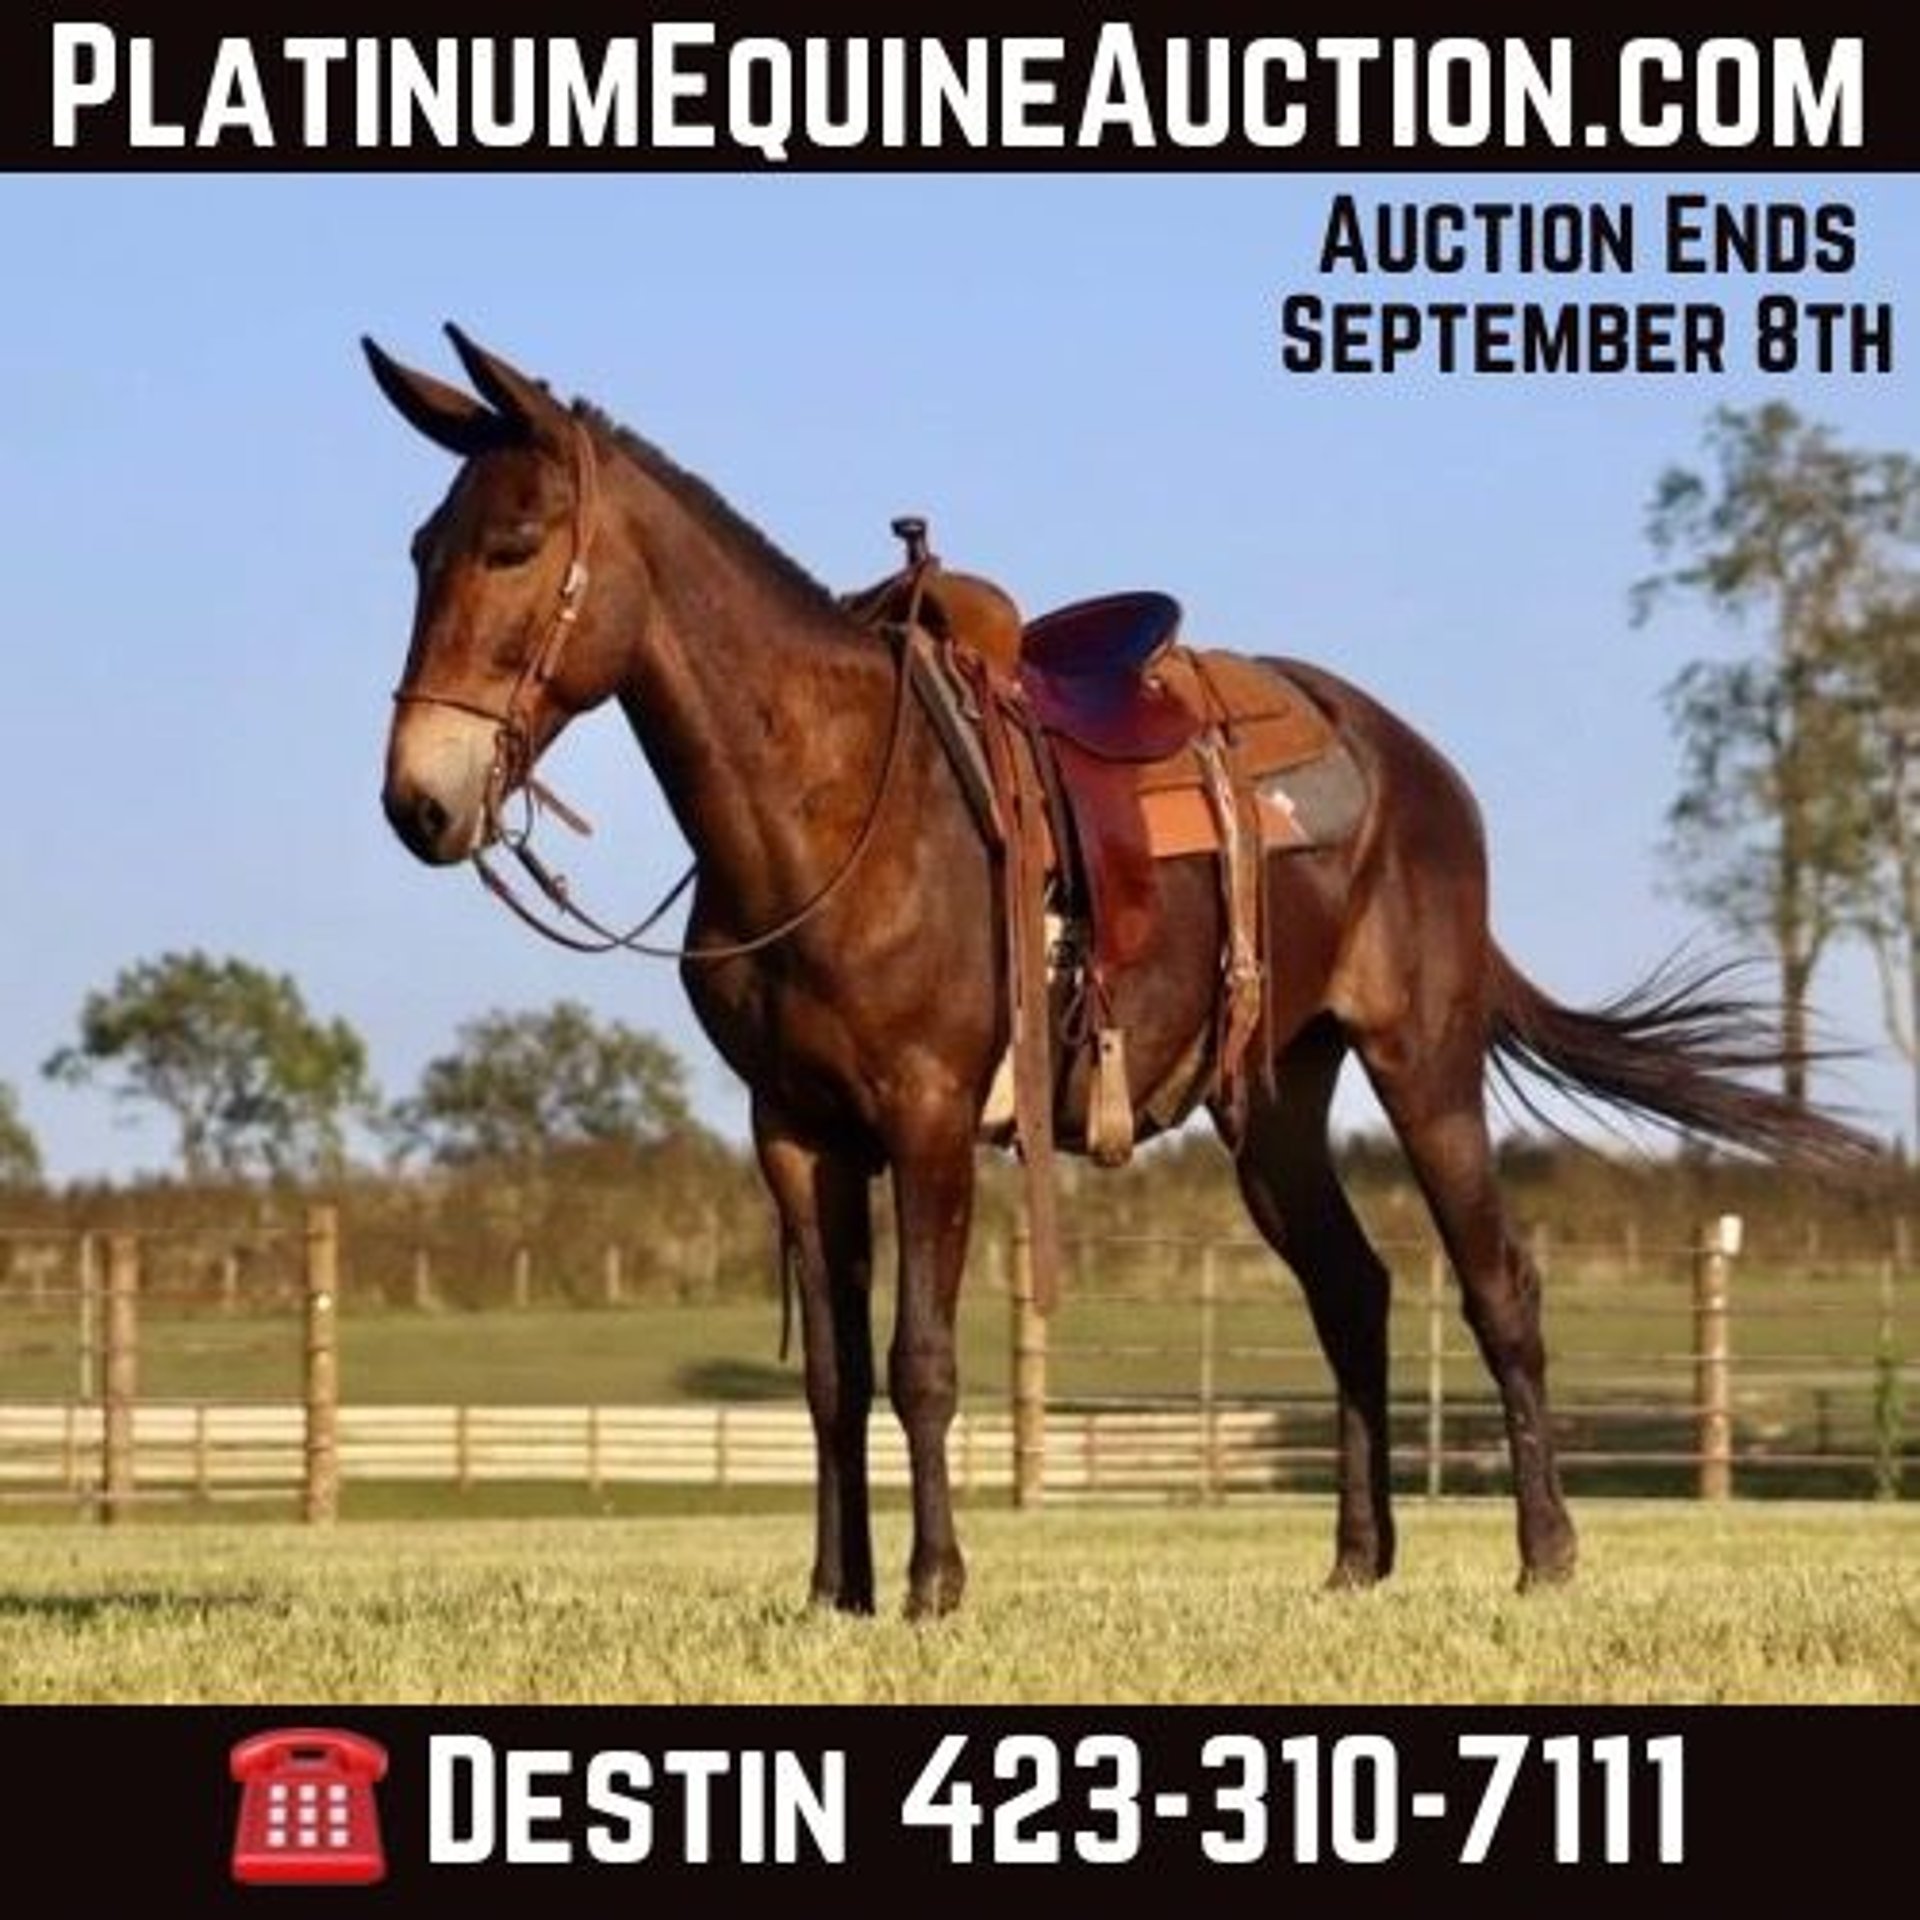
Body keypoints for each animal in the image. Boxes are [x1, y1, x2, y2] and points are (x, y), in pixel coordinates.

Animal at [365, 324, 1873, 1617]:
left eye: (513, 545)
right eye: (422, 549)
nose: (419, 804)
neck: (834, 802)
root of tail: (1420, 768)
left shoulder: (928, 1116)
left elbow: (919, 1361)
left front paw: (932, 1588)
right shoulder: (792, 1131)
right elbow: (835, 1381)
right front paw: (834, 1596)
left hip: (1424, 1063)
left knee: (1500, 1286)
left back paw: (1547, 1555)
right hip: (1273, 1099)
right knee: (1354, 1293)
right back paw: (1357, 1563)